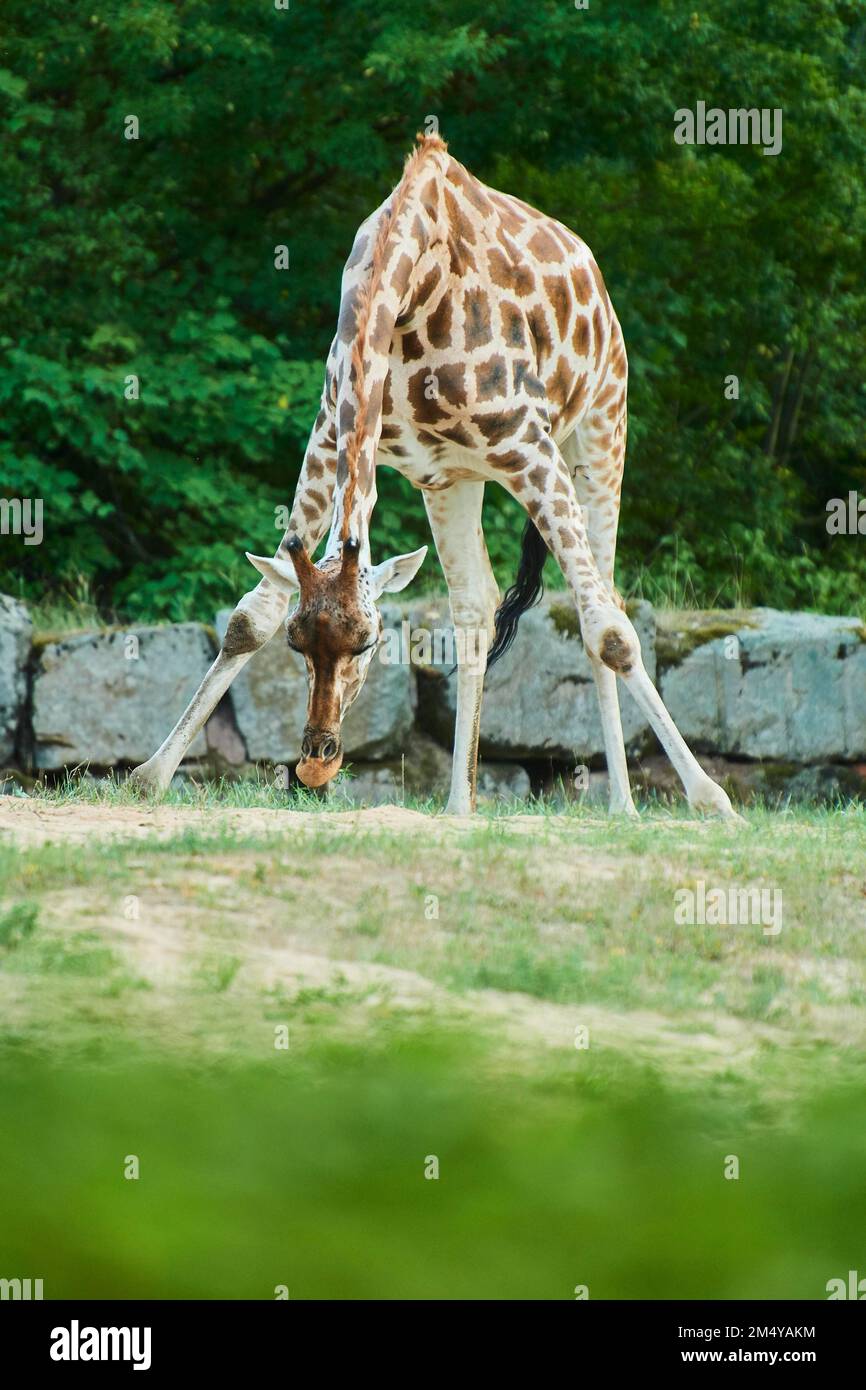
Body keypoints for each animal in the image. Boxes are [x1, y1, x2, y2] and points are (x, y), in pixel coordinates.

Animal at [130, 133, 738, 820]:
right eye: (297, 645)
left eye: (368, 642)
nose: (316, 763)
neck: (410, 285)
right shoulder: (331, 433)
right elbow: (247, 618)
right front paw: (150, 775)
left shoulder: (531, 447)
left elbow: (611, 632)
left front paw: (713, 797)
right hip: (453, 480)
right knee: (475, 607)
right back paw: (460, 804)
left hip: (602, 432)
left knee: (601, 601)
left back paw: (623, 806)